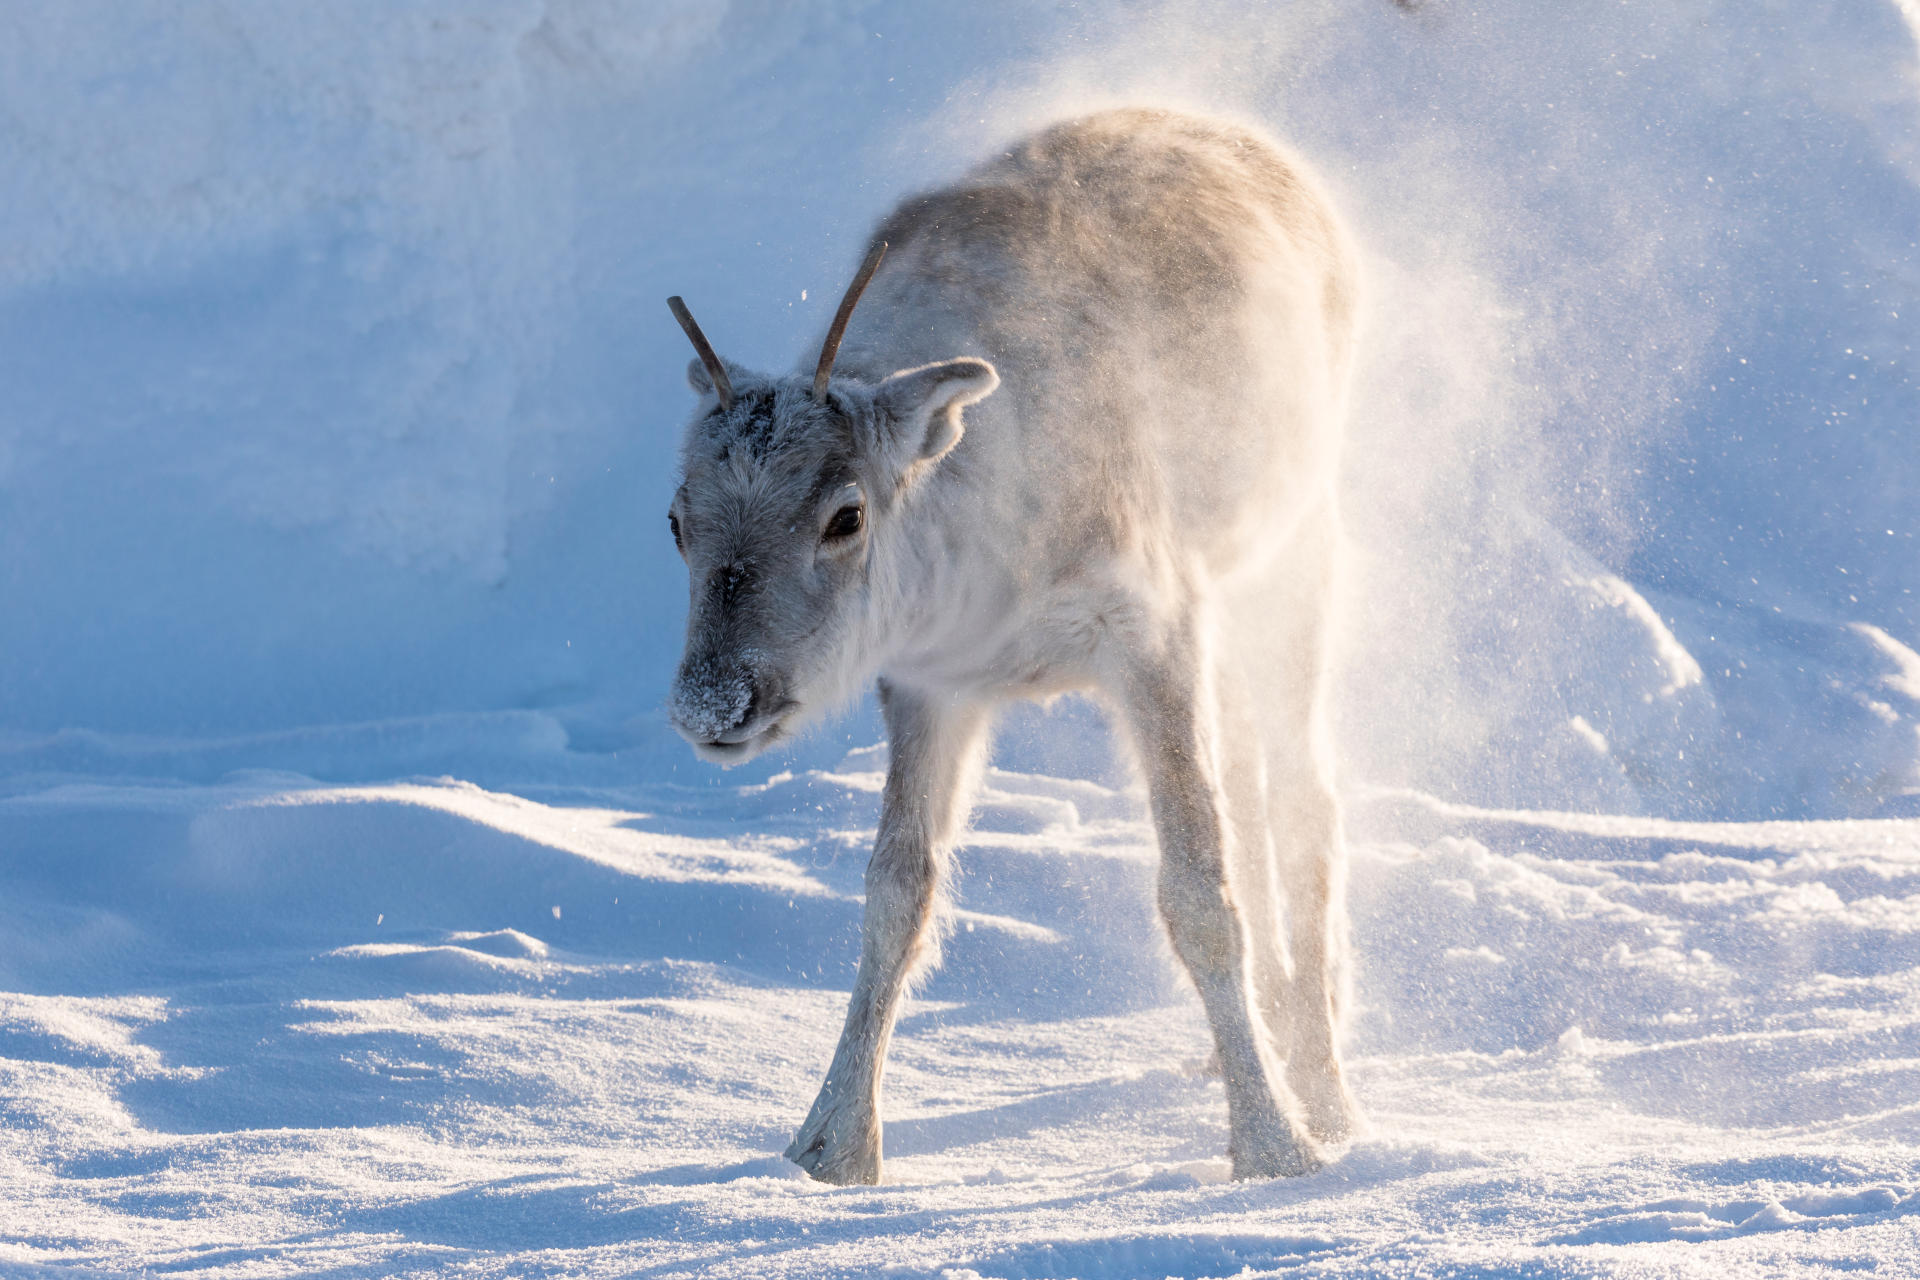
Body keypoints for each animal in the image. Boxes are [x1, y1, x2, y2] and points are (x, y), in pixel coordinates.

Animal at [662, 108, 1360, 1184]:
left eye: (845, 515)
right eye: (675, 521)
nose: (711, 703)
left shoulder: (1153, 626)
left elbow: (1199, 889)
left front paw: (1273, 1142)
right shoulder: (929, 685)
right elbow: (895, 895)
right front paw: (831, 1147)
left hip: (1293, 554)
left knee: (1301, 799)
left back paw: (1323, 1087)